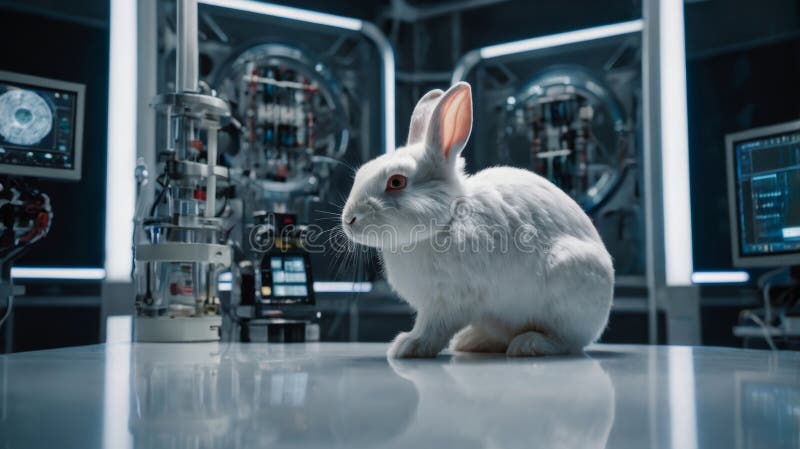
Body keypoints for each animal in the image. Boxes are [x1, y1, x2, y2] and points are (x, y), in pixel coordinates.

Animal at [341, 82, 614, 358]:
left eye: (396, 182)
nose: (349, 220)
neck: (446, 220)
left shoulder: (448, 300)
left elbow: (432, 328)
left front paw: (408, 346)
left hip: (568, 286)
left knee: (568, 342)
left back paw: (528, 344)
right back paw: (471, 340)